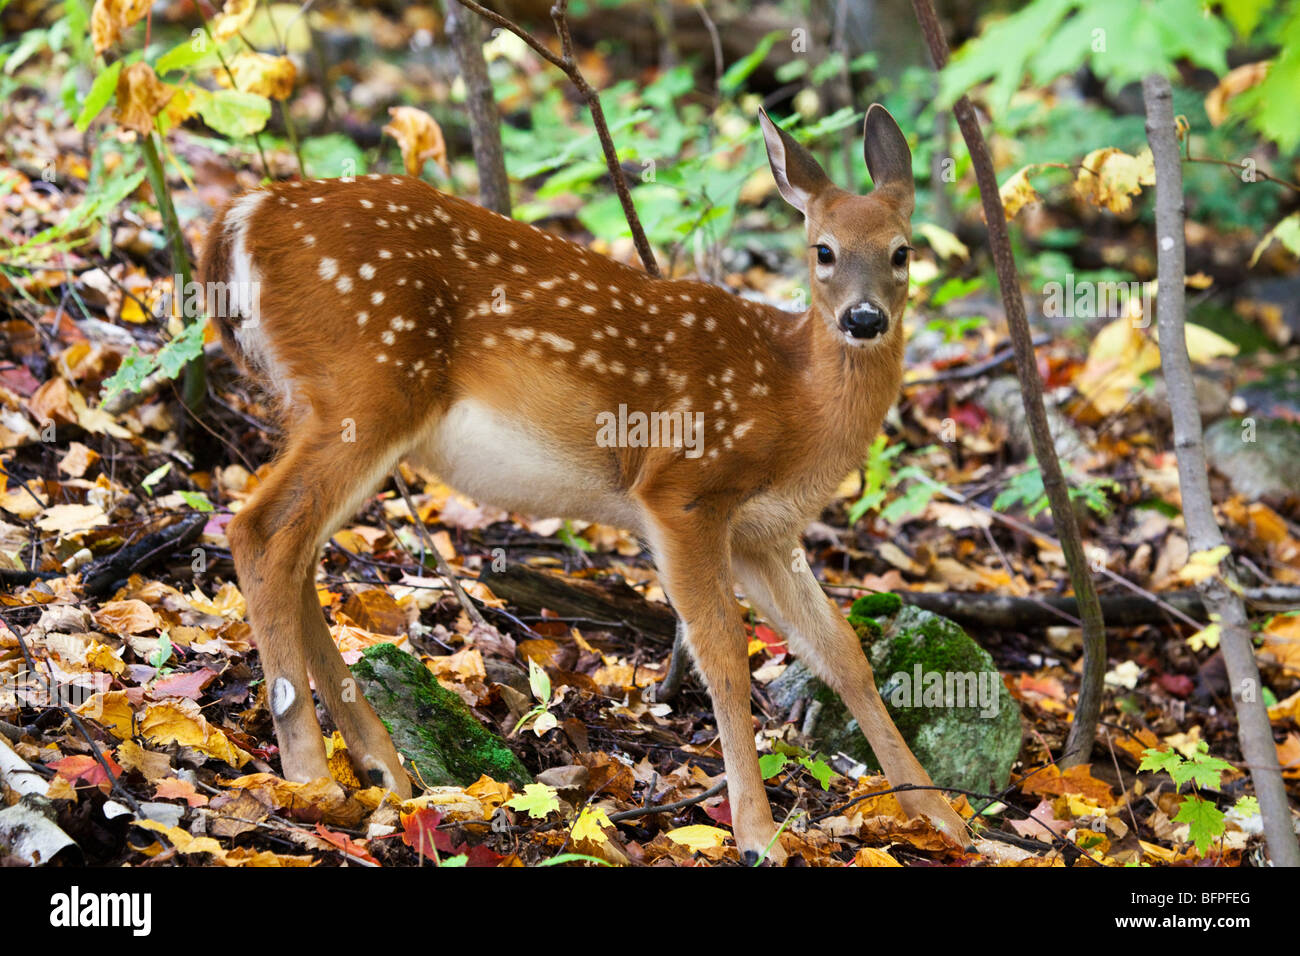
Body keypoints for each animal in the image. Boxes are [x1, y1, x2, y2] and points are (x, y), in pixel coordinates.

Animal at [199, 104, 972, 863]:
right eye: (823, 251)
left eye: (902, 251)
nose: (864, 318)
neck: (796, 405)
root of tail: (244, 215)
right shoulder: (682, 487)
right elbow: (724, 651)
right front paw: (757, 837)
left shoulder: (766, 533)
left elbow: (843, 652)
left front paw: (943, 818)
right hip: (365, 383)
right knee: (260, 530)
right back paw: (309, 772)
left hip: (321, 400)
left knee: (295, 551)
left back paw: (381, 764)